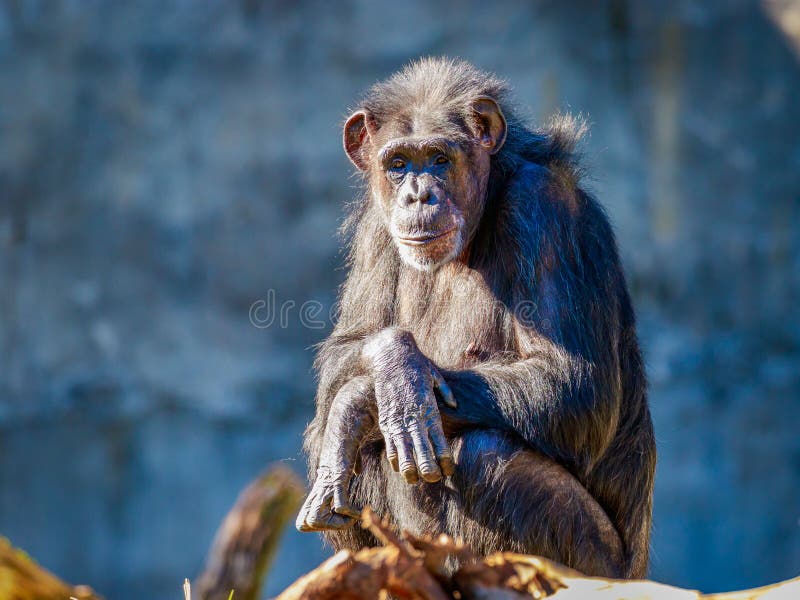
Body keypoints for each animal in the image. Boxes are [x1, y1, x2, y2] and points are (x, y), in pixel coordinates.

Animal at [295, 58, 656, 579]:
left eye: (439, 159)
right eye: (398, 164)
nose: (418, 195)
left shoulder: (543, 207)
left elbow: (573, 383)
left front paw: (375, 398)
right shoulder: (375, 228)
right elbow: (348, 345)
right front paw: (392, 366)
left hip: (598, 564)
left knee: (486, 455)